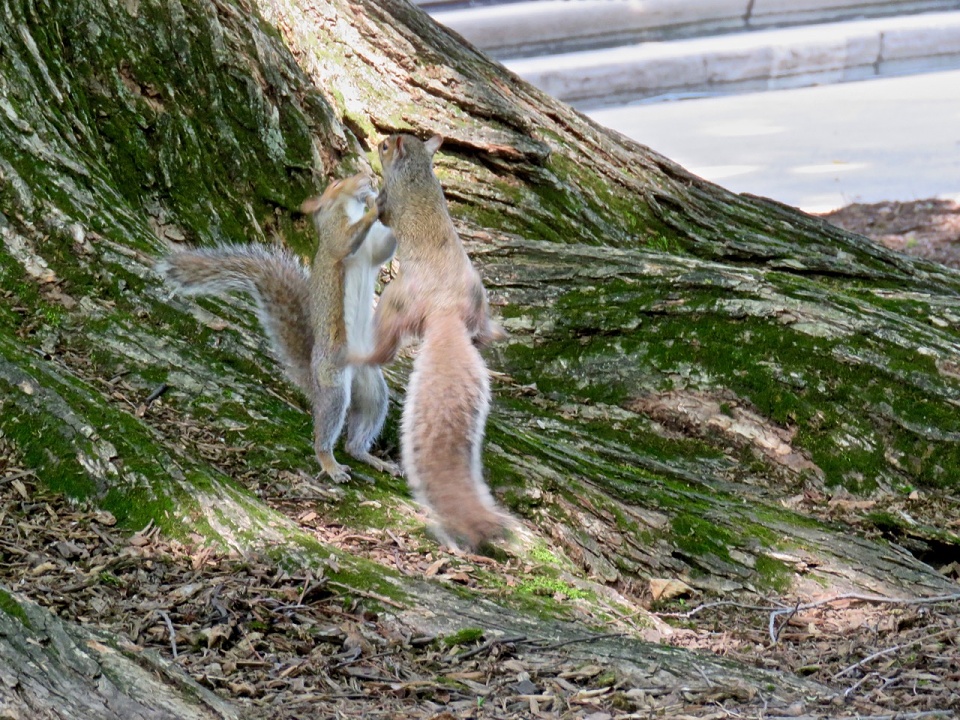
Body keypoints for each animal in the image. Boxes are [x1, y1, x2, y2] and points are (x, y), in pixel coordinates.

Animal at [157, 173, 400, 482]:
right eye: (336, 184)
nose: (368, 177)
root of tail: (313, 379)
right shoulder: (335, 235)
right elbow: (344, 241)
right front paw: (376, 204)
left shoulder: (373, 250)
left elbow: (384, 249)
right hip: (333, 379)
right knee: (326, 429)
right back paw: (331, 465)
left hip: (370, 387)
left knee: (357, 436)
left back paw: (371, 458)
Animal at [353, 133, 510, 549]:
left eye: (387, 147)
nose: (379, 140)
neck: (418, 170)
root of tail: (446, 313)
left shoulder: (391, 202)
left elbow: (380, 209)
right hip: (477, 301)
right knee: (481, 330)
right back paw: (494, 333)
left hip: (397, 299)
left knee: (382, 349)